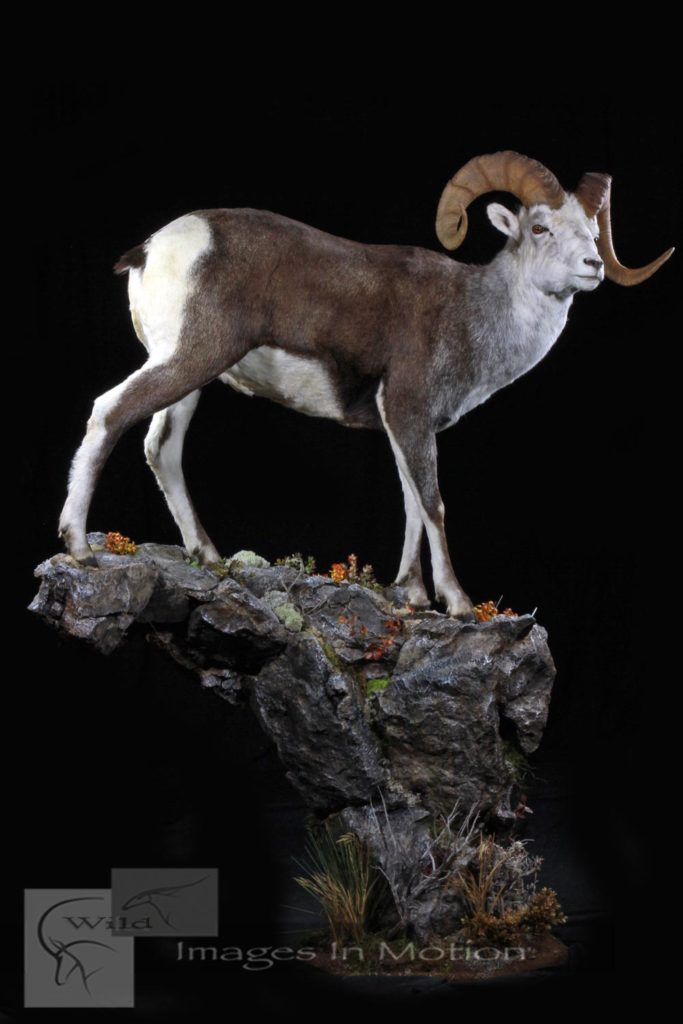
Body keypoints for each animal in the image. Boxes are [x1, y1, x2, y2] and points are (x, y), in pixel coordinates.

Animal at [58, 150, 673, 619]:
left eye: (592, 232)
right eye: (540, 228)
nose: (593, 266)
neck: (472, 312)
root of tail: (154, 248)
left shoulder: (403, 426)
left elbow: (410, 503)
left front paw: (413, 596)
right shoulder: (407, 411)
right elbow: (433, 503)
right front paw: (455, 603)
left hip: (191, 377)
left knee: (160, 447)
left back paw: (208, 556)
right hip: (190, 359)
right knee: (110, 412)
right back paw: (79, 548)